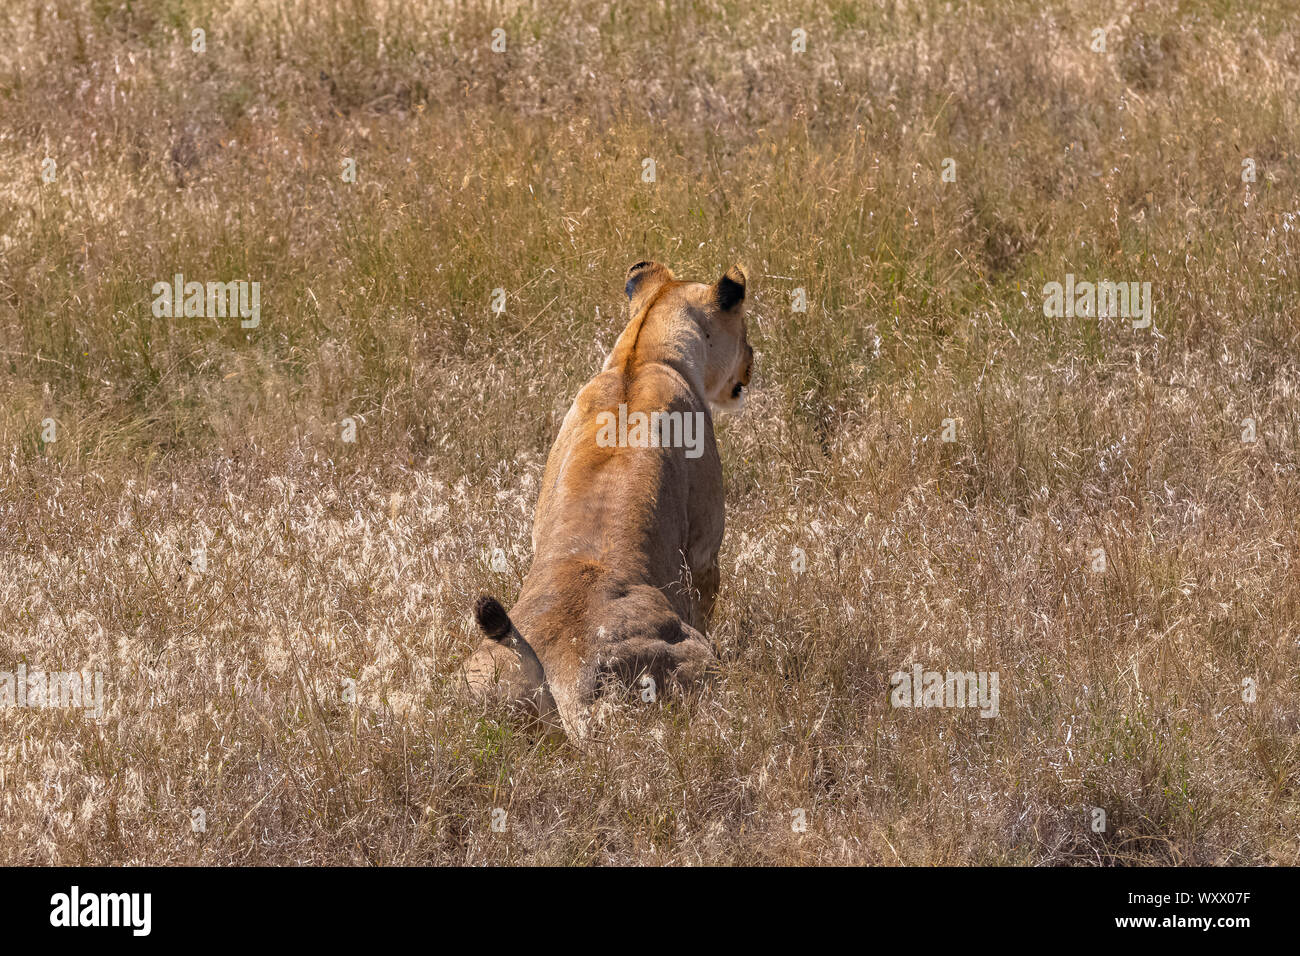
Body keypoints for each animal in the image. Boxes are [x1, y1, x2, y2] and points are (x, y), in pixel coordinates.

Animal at [462, 260, 753, 738]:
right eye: (745, 331)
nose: (752, 360)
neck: (640, 356)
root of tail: (568, 680)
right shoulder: (705, 549)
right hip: (696, 663)